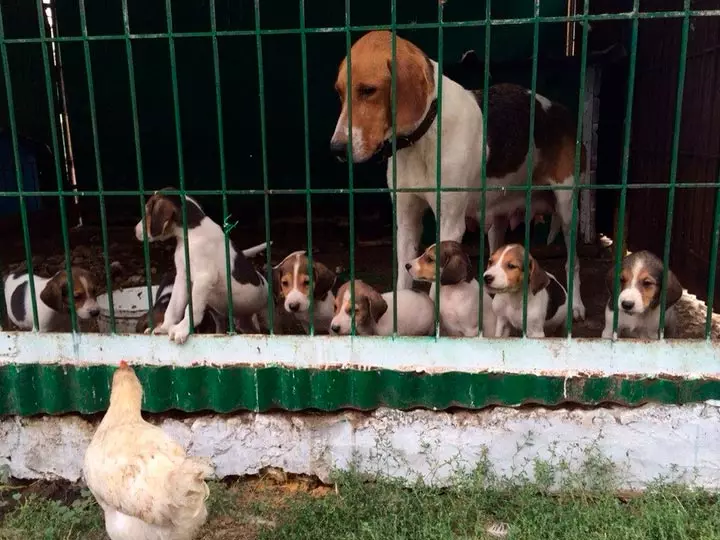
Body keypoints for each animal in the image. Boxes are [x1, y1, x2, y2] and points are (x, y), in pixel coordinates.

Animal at [135, 188, 270, 344]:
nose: (135, 231)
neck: (191, 233)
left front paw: (182, 329)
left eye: (147, 210)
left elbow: (191, 309)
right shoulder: (182, 277)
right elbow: (173, 307)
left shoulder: (204, 278)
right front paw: (164, 327)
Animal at [330, 31, 584, 322]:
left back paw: (576, 306)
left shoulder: (450, 222)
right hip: (498, 215)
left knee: (573, 262)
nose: (336, 149)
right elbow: (403, 277)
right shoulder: (406, 219)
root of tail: (562, 110)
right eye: (339, 92)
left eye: (368, 90)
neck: (423, 137)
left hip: (567, 208)